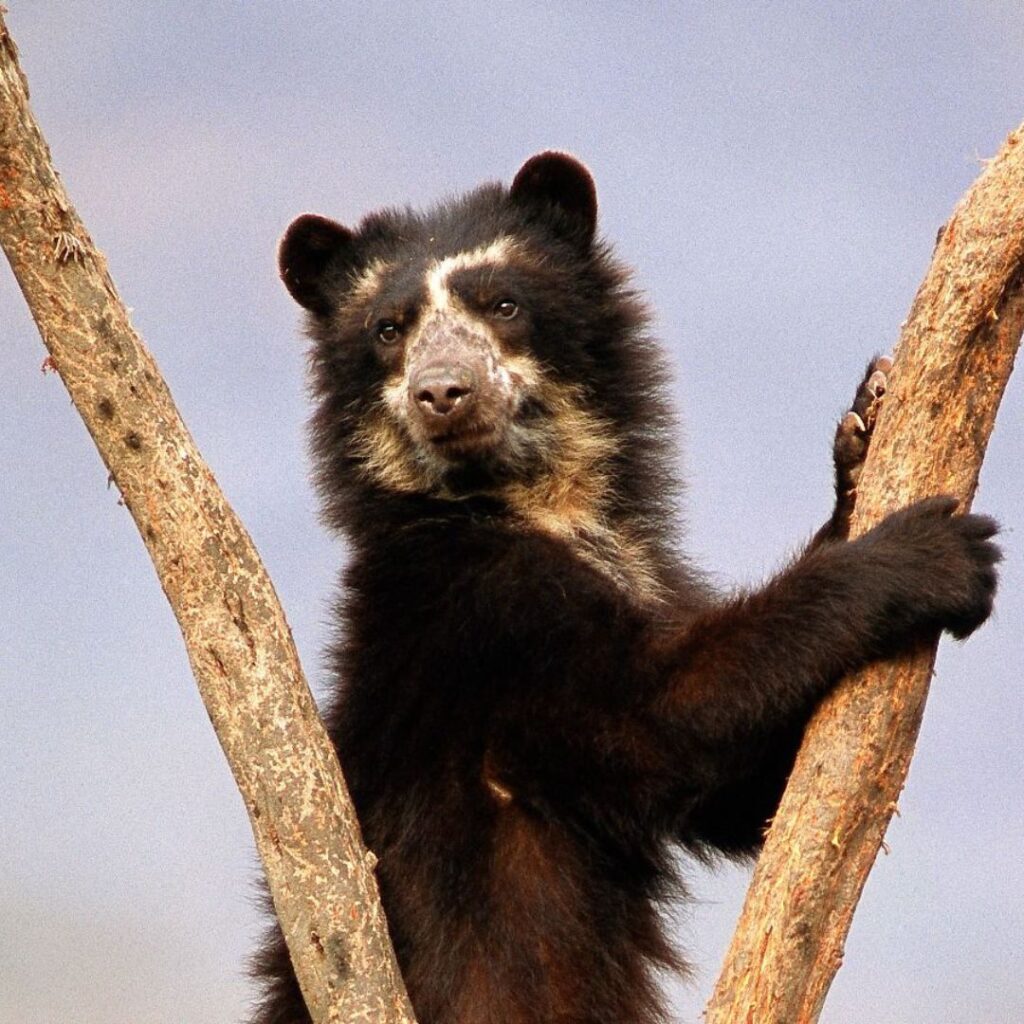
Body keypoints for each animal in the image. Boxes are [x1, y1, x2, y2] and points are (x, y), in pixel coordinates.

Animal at [253, 152, 1000, 1024]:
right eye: (388, 329)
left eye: (503, 303)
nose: (442, 391)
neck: (525, 505)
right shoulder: (482, 621)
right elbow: (659, 718)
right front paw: (931, 555)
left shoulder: (640, 578)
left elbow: (754, 791)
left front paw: (867, 430)